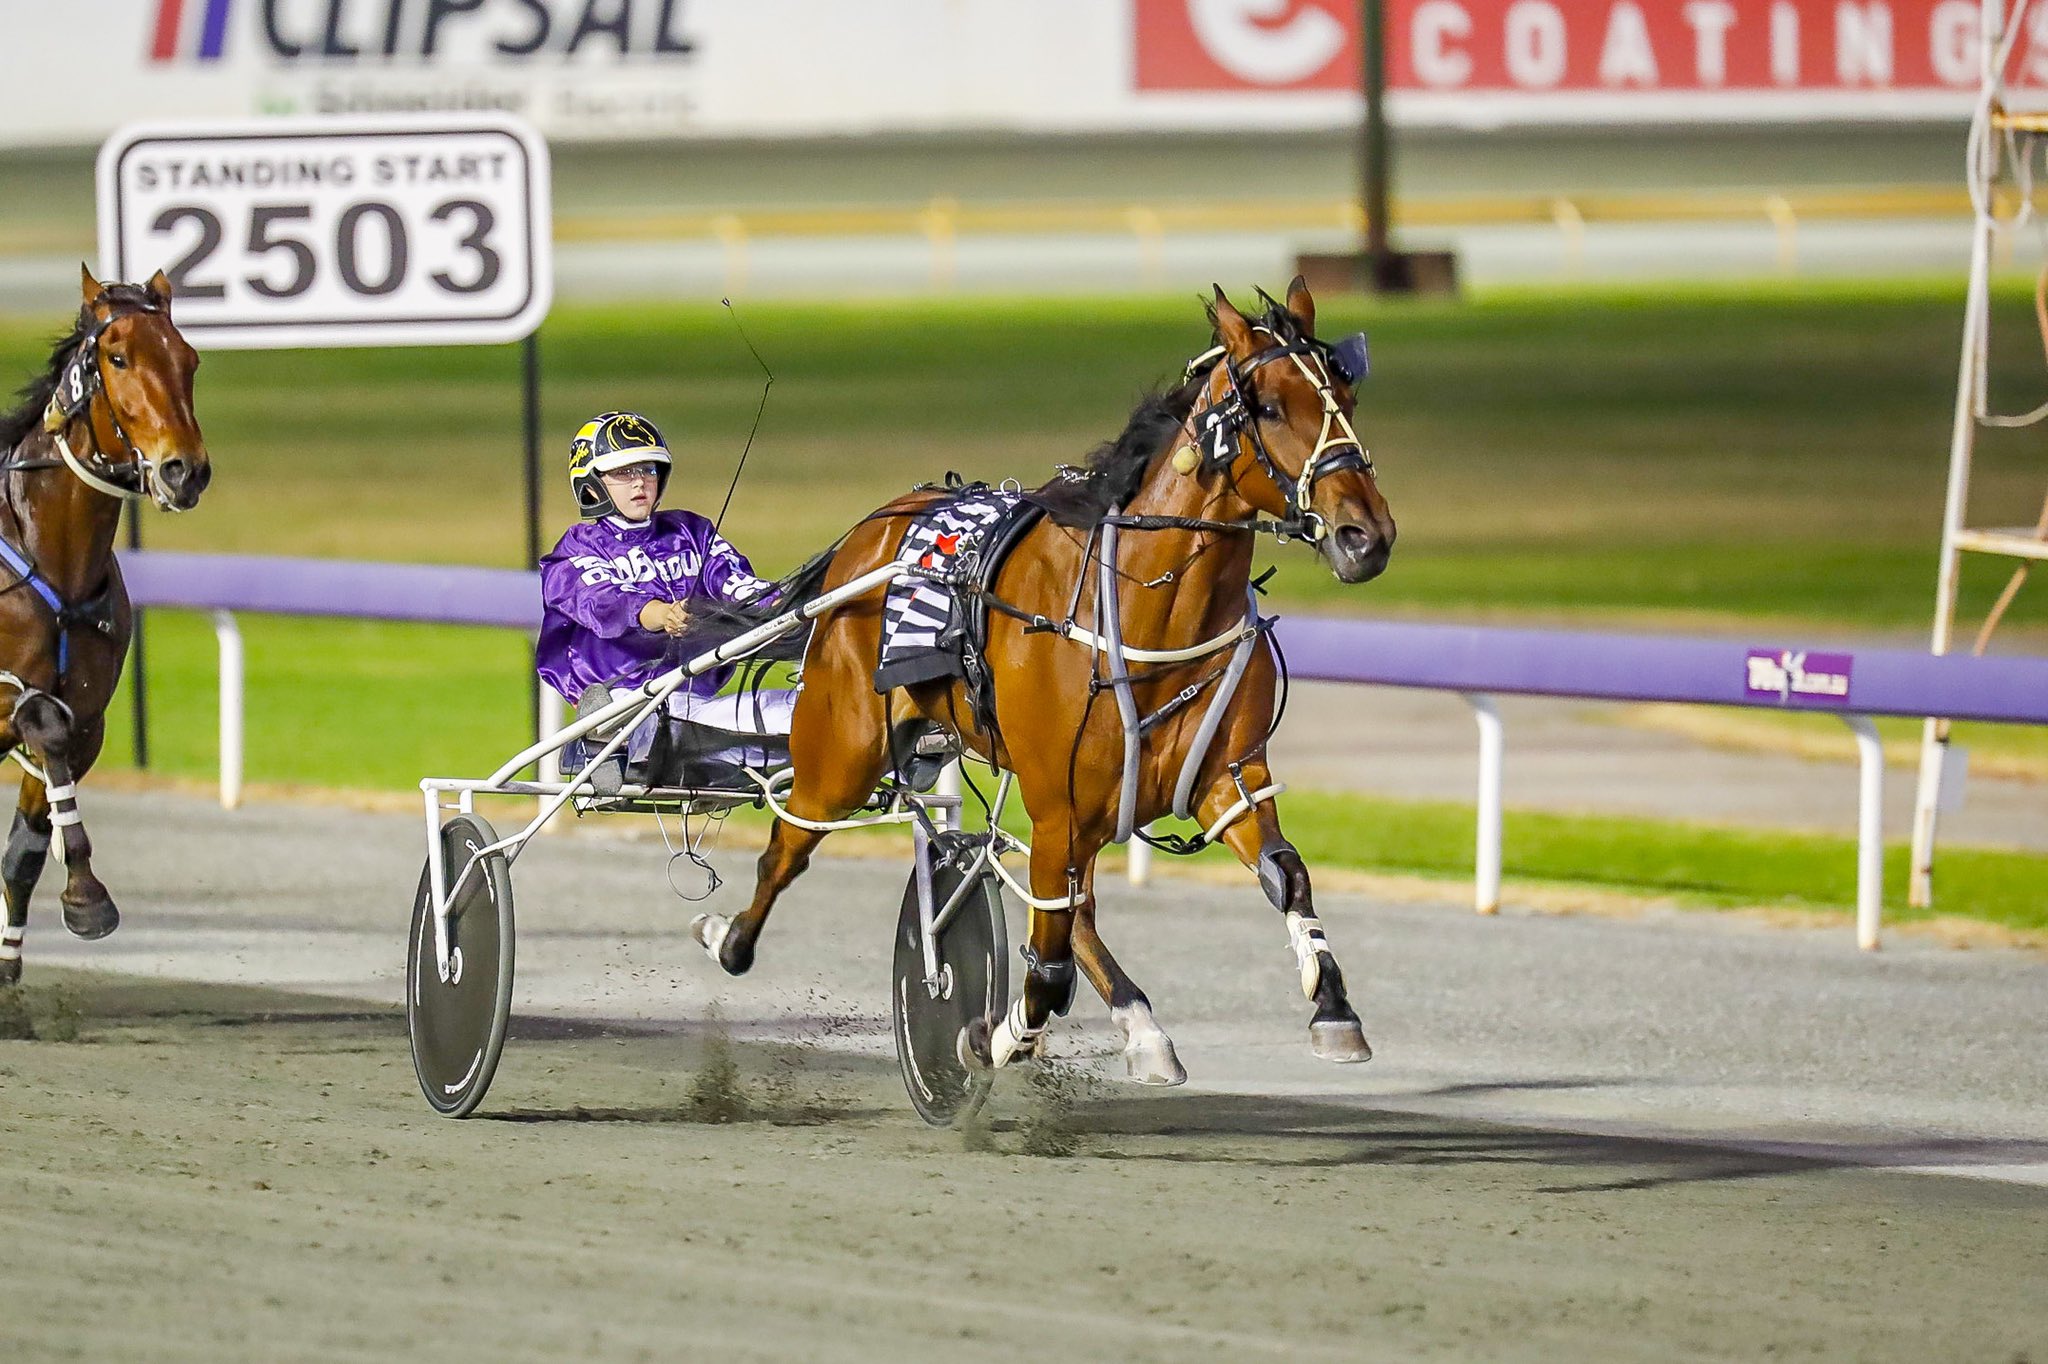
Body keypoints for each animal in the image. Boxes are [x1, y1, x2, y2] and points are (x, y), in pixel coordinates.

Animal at [0, 267, 211, 985]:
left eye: (189, 360)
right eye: (116, 357)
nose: (184, 469)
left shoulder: (90, 717)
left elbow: (26, 846)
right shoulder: (10, 693)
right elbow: (42, 722)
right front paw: (88, 897)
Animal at [690, 278, 1393, 1083]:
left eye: (1347, 394)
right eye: (1271, 407)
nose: (1366, 536)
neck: (1148, 610)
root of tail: (871, 530)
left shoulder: (1225, 777)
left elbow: (1287, 873)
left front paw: (1334, 1009)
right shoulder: (1058, 800)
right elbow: (1047, 962)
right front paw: (987, 1037)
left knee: (1070, 910)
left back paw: (1140, 1025)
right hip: (841, 750)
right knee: (789, 845)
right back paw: (728, 939)